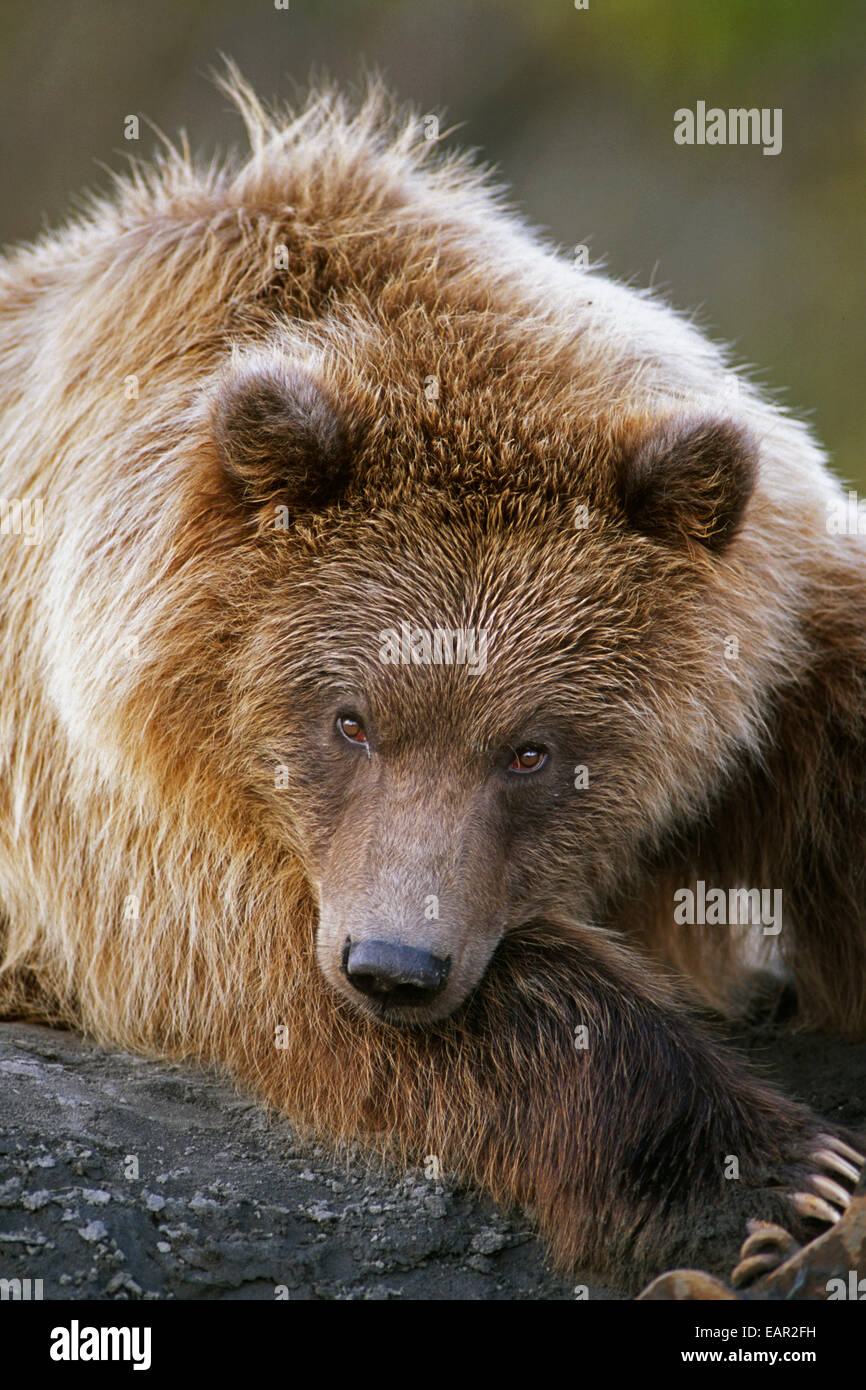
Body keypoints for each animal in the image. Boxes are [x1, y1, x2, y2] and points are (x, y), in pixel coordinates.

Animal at [0, 67, 864, 1292]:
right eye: (348, 719)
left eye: (533, 749)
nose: (395, 965)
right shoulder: (120, 795)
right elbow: (262, 967)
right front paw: (777, 1181)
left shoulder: (778, 645)